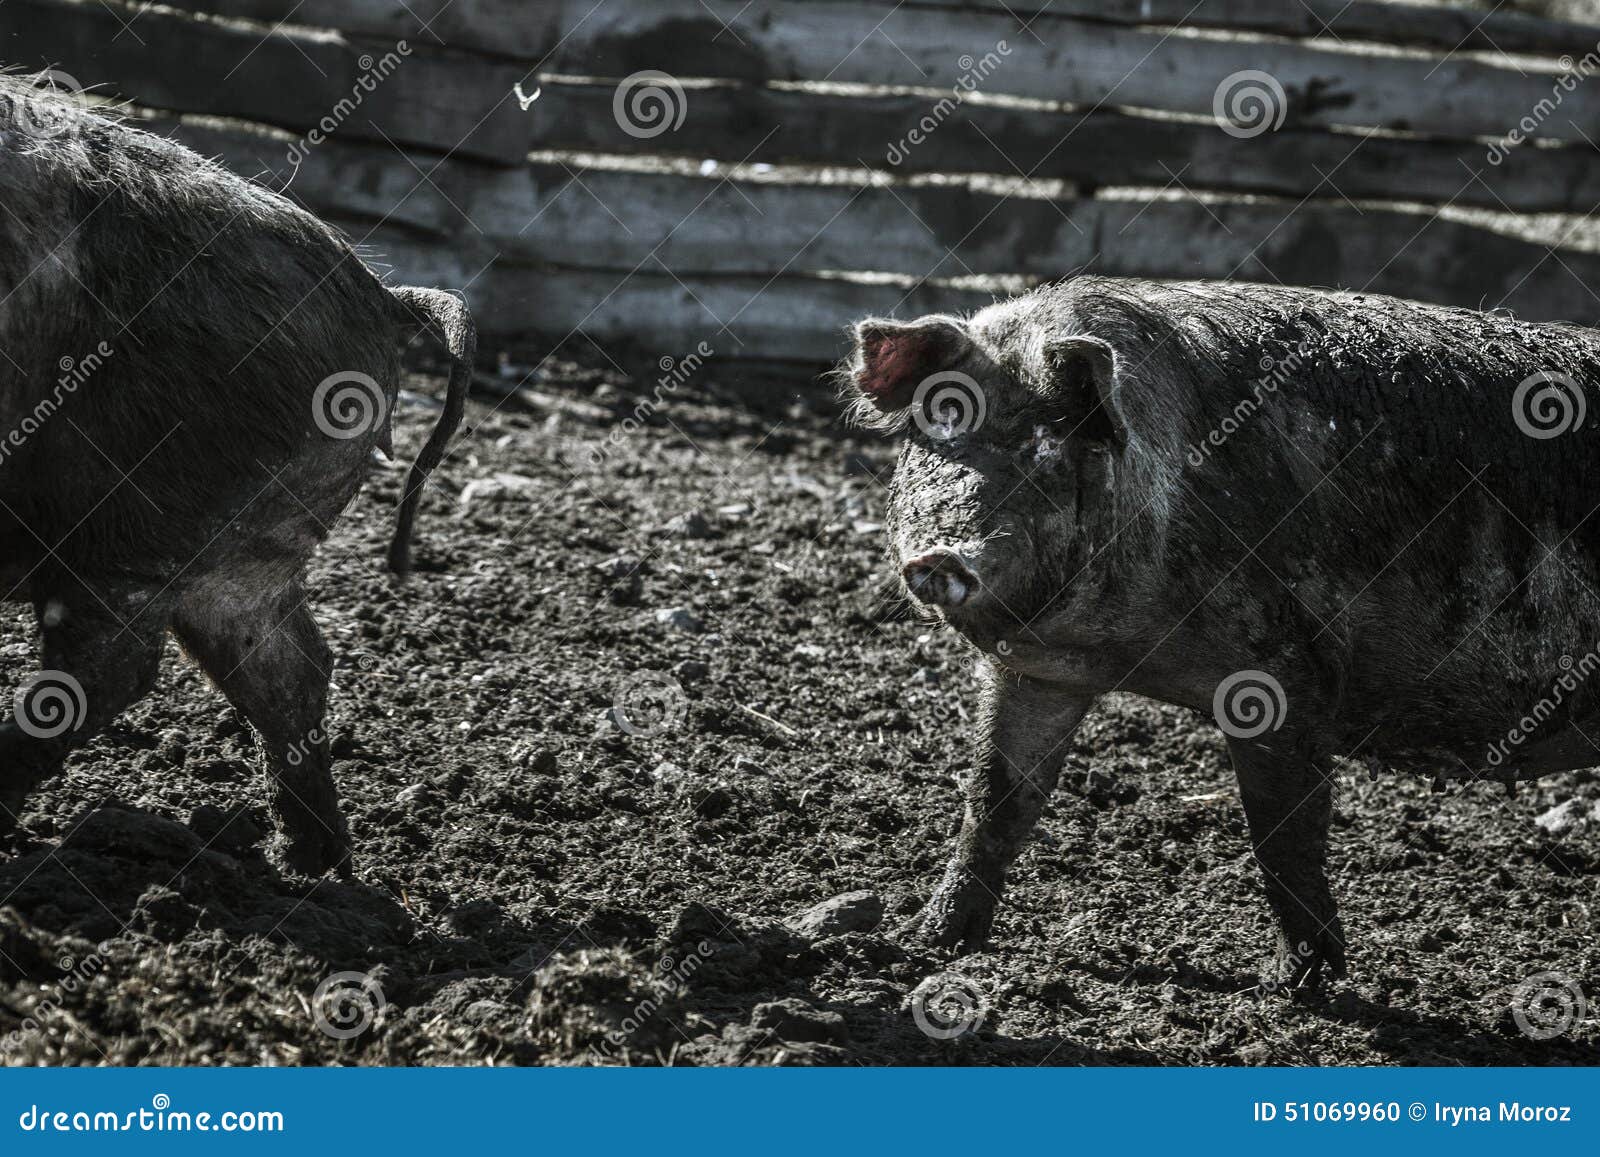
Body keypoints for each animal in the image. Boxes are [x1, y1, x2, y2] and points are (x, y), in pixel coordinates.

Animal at [0, 76, 475, 875]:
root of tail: (380, 295)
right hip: (250, 533)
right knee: (286, 664)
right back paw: (308, 866)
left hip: (139, 507)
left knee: (108, 671)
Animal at [844, 275, 1600, 986]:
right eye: (939, 430)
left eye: (1044, 450)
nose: (940, 557)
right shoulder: (1040, 671)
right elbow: (995, 802)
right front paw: (928, 942)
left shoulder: (1287, 667)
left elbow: (1280, 829)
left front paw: (1300, 984)